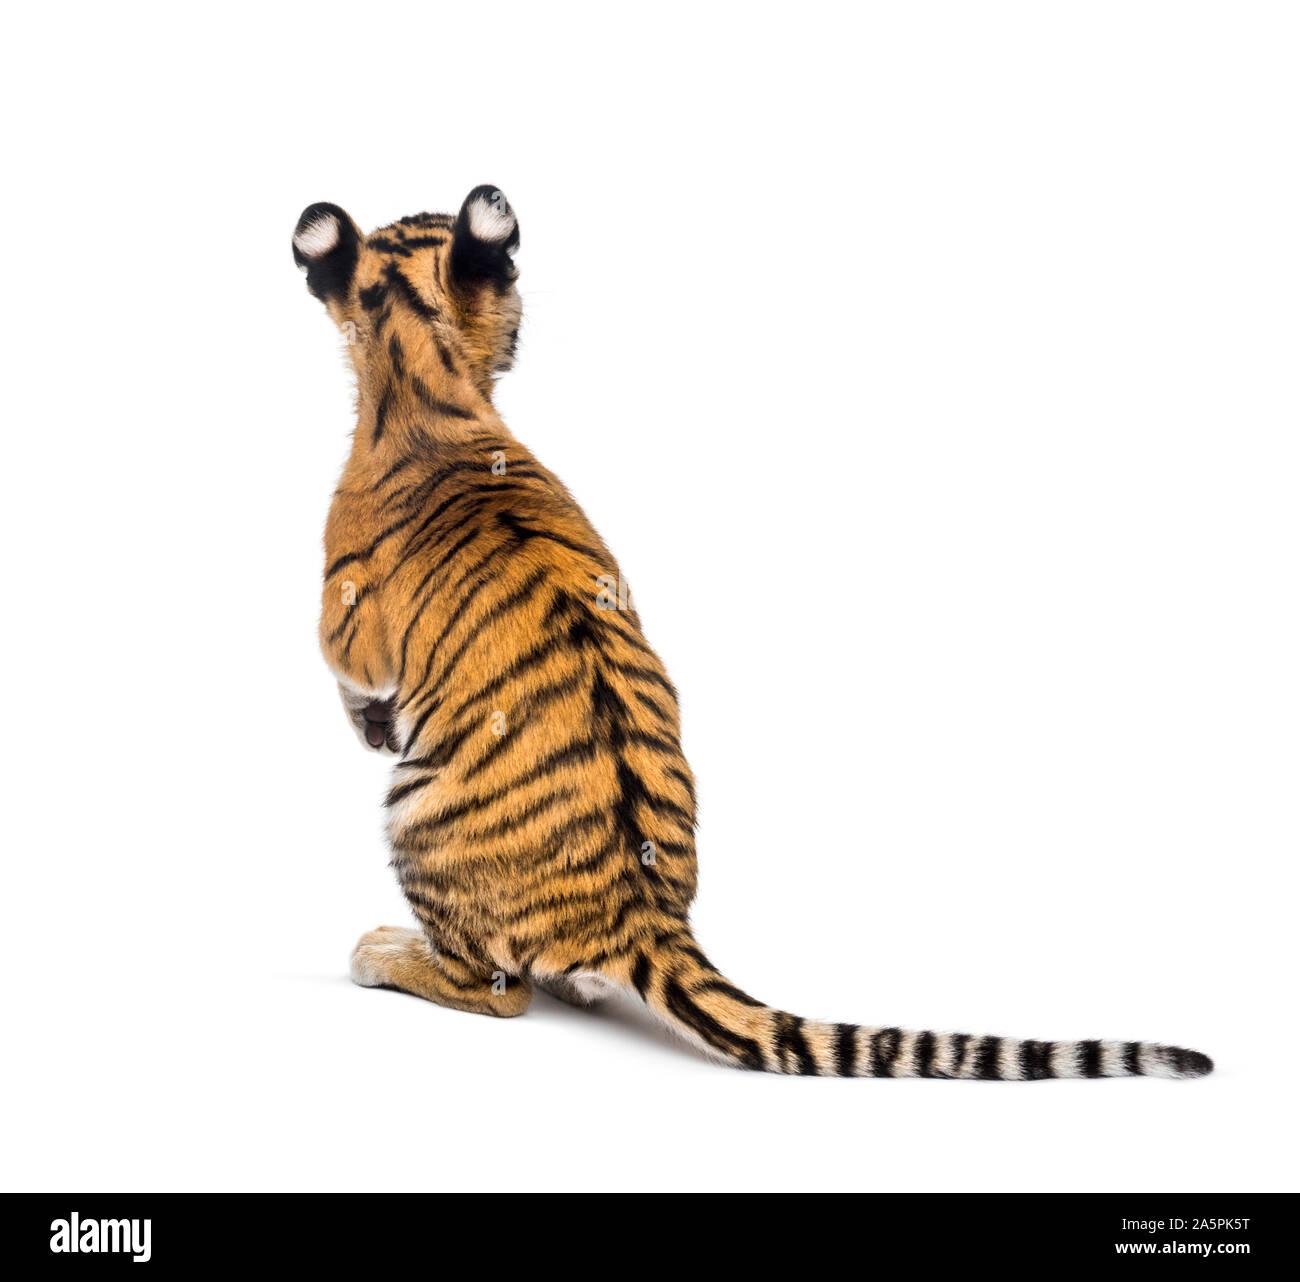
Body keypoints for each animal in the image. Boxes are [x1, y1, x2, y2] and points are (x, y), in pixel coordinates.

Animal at [293, 185, 1212, 1080]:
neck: (424, 381)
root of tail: (643, 919)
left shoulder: (344, 618)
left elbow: (346, 671)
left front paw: (365, 722)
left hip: (414, 812)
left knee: (497, 987)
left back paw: (380, 952)